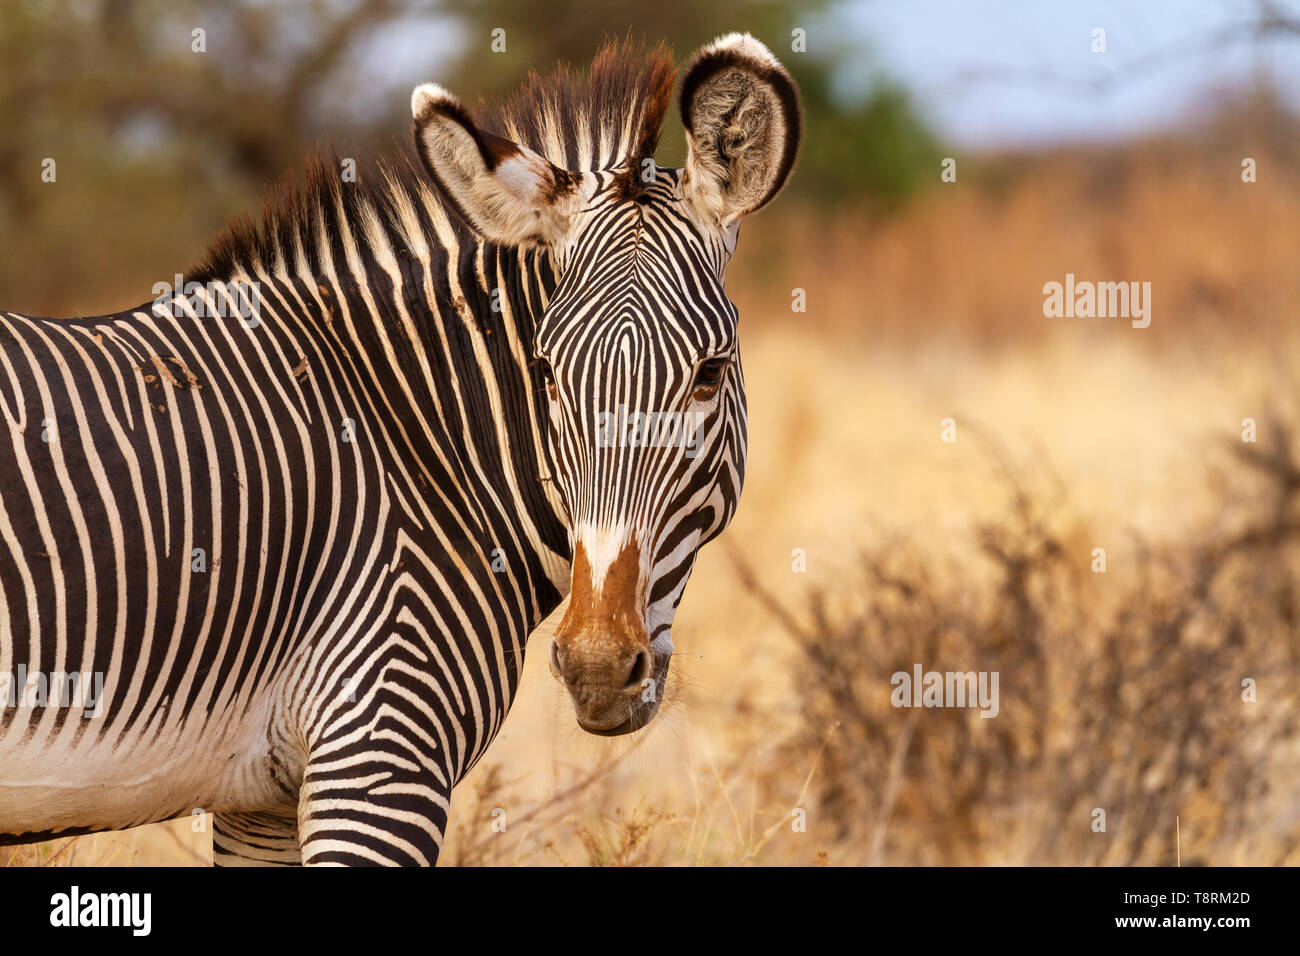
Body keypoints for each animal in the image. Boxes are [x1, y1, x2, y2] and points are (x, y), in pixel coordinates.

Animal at [0, 33, 802, 865]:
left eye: (709, 374)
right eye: (547, 372)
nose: (599, 671)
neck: (414, 448)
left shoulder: (262, 802)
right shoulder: (380, 749)